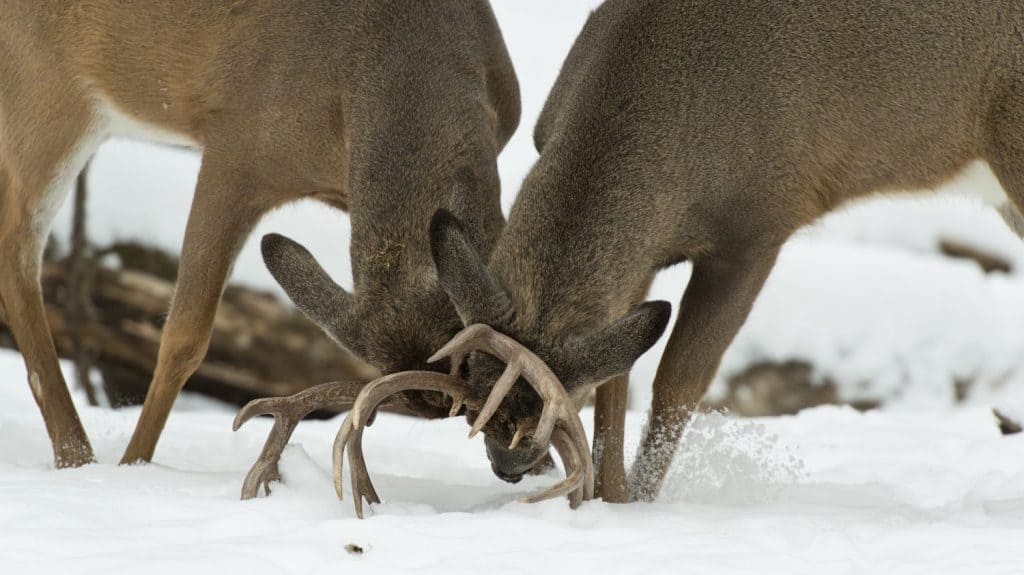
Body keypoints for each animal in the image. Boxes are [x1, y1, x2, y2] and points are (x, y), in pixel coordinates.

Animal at [0, 1, 520, 471]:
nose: (507, 452)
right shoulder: (238, 146)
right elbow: (184, 335)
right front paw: (135, 466)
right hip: (47, 91)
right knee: (17, 246)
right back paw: (77, 457)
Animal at [423, 0, 1024, 504]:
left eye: (549, 404)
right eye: (470, 384)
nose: (508, 464)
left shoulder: (758, 226)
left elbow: (677, 383)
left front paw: (641, 504)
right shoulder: (637, 266)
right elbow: (618, 383)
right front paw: (609, 500)